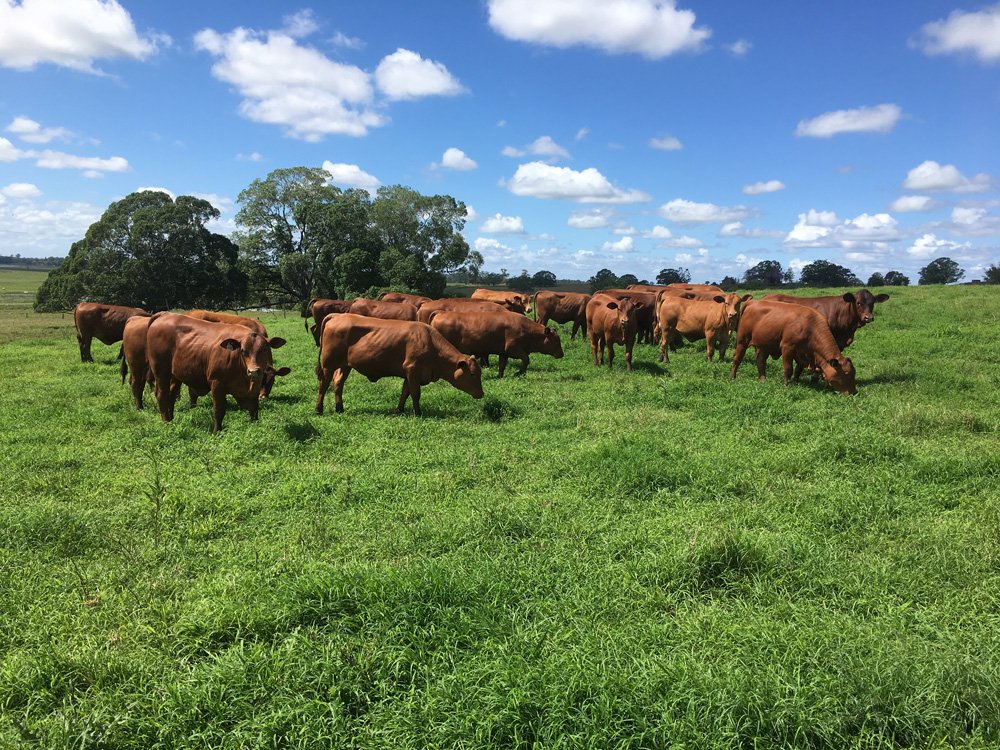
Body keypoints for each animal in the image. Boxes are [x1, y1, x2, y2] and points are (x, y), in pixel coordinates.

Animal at [146, 312, 288, 431]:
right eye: (243, 351)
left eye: (264, 349)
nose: (253, 371)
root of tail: (165, 314)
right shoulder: (217, 384)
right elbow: (219, 410)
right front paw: (216, 432)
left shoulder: (253, 391)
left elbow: (254, 410)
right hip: (161, 371)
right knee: (161, 394)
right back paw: (166, 422)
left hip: (175, 375)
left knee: (171, 395)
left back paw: (171, 419)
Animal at [315, 314, 483, 416]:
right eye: (472, 374)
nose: (481, 394)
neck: (431, 343)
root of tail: (337, 315)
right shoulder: (413, 370)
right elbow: (415, 393)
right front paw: (418, 412)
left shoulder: (409, 374)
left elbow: (405, 392)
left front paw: (399, 409)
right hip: (328, 365)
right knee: (324, 385)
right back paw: (319, 409)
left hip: (345, 366)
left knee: (338, 384)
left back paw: (340, 408)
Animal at [428, 310, 563, 377]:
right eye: (556, 340)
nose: (561, 354)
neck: (527, 329)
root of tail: (440, 313)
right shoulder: (514, 349)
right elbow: (526, 359)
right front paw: (520, 373)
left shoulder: (504, 353)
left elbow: (502, 365)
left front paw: (500, 376)